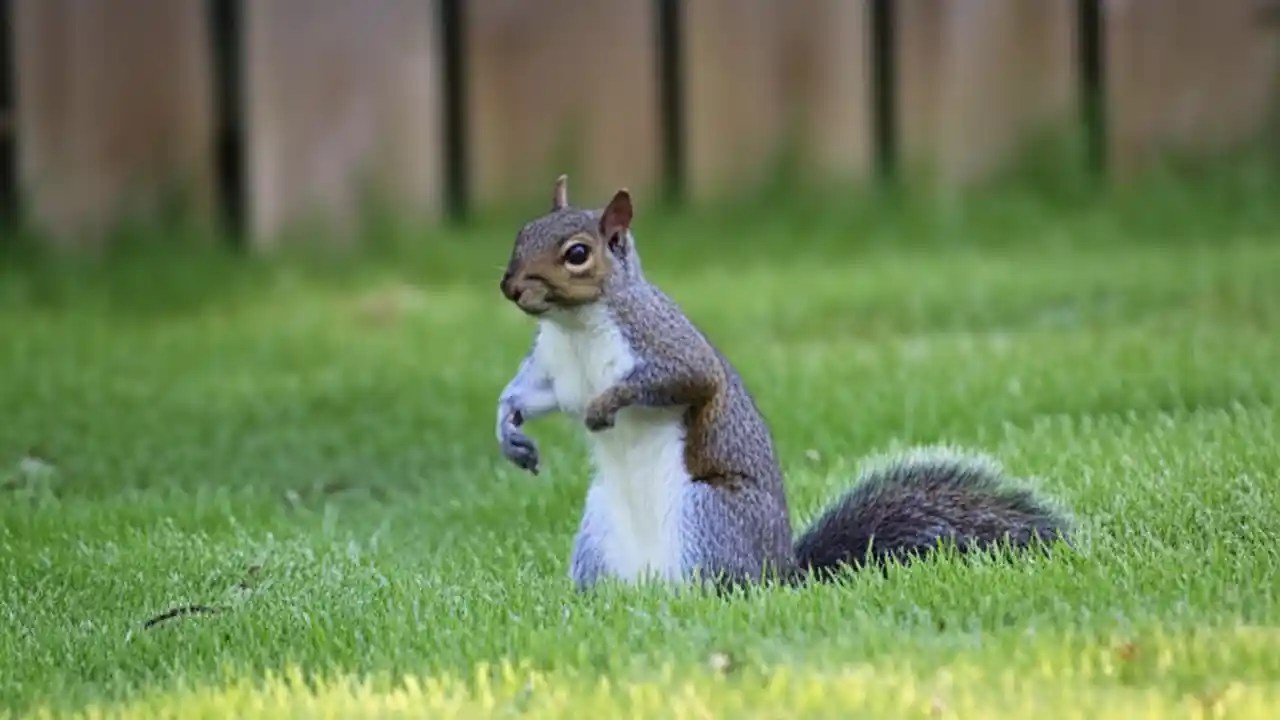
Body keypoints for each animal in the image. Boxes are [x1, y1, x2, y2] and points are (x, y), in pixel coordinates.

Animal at [495, 175, 1070, 590]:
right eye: (522, 231)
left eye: (577, 254)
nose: (510, 286)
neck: (576, 326)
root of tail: (783, 575)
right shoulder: (553, 369)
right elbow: (530, 394)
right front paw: (509, 428)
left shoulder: (663, 341)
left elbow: (682, 378)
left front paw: (603, 407)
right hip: (599, 532)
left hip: (708, 516)